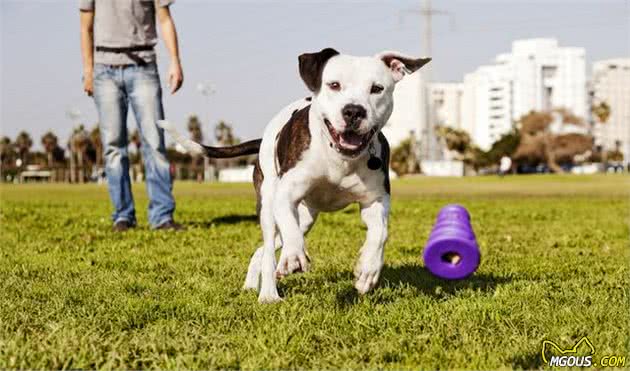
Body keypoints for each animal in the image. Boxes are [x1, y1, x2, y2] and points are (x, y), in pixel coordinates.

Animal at [160, 48, 432, 304]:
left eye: (377, 89)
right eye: (334, 85)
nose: (354, 111)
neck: (339, 157)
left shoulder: (375, 201)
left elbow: (380, 234)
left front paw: (368, 270)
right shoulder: (286, 195)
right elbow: (291, 234)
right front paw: (293, 257)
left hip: (306, 217)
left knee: (263, 249)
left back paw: (253, 283)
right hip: (268, 205)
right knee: (271, 246)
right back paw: (269, 293)